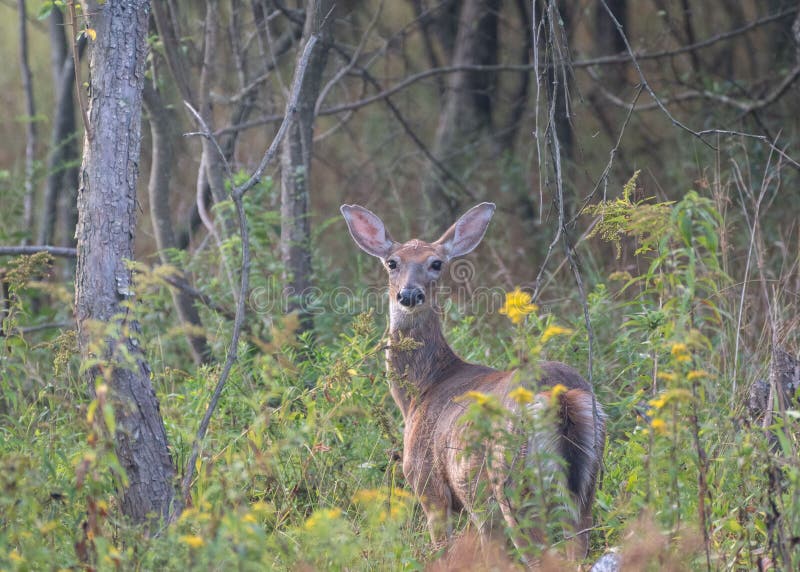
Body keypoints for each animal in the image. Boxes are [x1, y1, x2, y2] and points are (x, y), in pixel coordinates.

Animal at [340, 202, 606, 561]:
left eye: (436, 263)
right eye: (392, 262)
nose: (409, 295)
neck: (421, 391)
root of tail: (558, 394)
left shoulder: (429, 486)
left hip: (511, 481)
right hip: (586, 483)